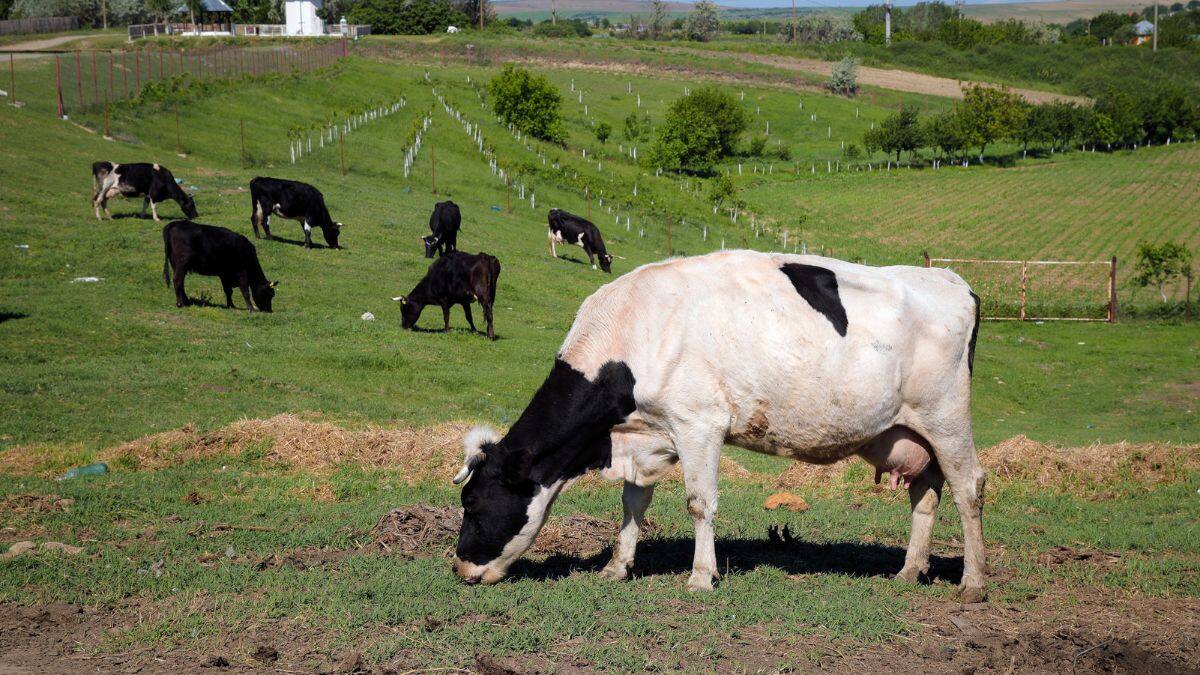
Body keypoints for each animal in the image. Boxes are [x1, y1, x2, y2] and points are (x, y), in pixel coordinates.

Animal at [449, 250, 987, 603]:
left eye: (472, 503)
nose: (459, 568)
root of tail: (953, 282)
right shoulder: (648, 435)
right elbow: (632, 503)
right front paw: (616, 567)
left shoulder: (699, 423)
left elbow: (699, 503)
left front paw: (701, 576)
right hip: (911, 434)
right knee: (926, 496)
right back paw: (909, 570)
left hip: (946, 418)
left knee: (969, 488)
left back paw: (974, 582)